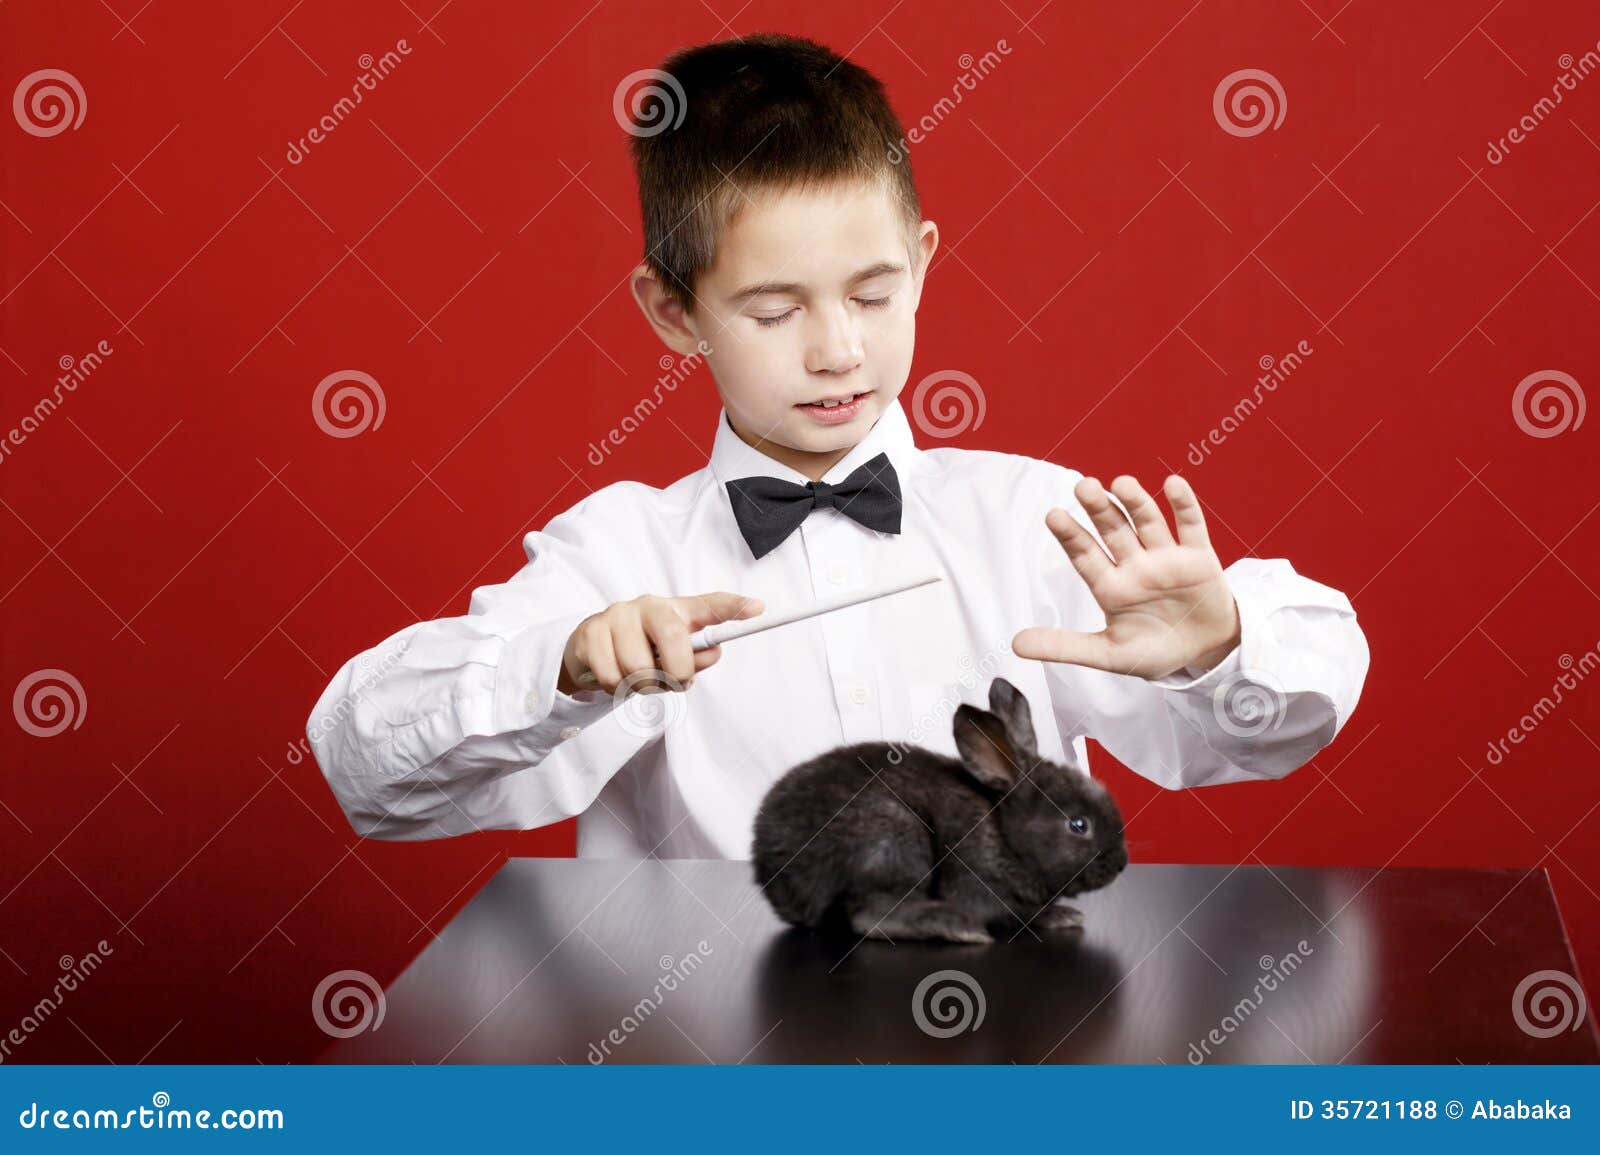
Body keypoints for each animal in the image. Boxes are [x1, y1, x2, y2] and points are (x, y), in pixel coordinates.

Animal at [750, 676, 1128, 944]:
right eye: (1078, 824)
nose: (1121, 863)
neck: (1001, 833)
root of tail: (770, 863)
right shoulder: (978, 885)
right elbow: (1015, 915)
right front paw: (1060, 916)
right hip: (894, 839)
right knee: (870, 915)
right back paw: (957, 927)